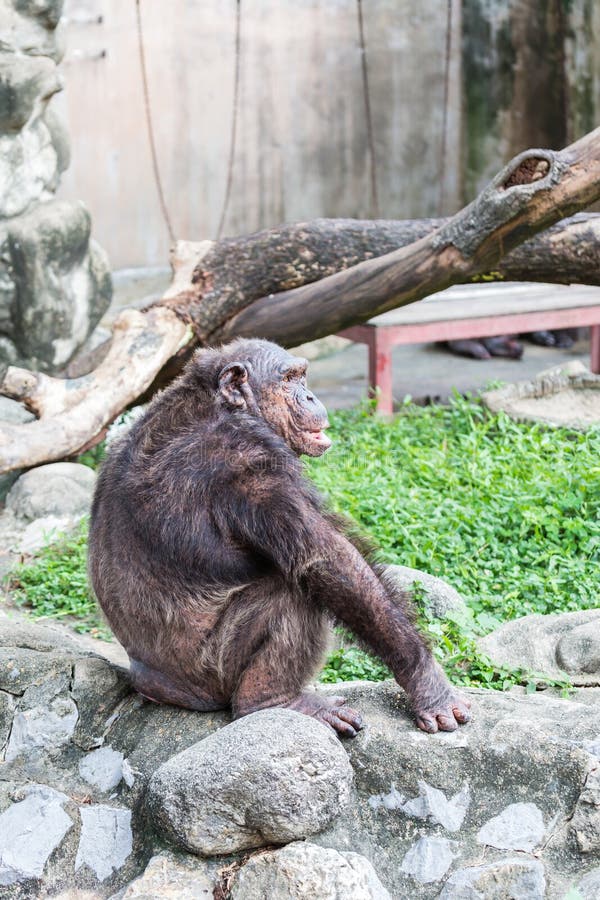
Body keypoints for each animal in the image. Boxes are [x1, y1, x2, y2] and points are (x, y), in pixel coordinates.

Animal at [89, 339, 471, 738]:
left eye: (302, 376)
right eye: (288, 380)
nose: (310, 395)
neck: (216, 406)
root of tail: (157, 685)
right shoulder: (256, 463)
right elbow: (331, 563)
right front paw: (429, 683)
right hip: (212, 671)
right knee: (292, 592)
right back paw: (276, 701)